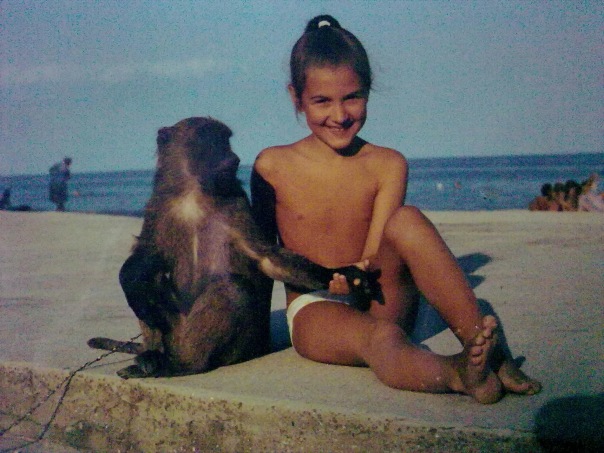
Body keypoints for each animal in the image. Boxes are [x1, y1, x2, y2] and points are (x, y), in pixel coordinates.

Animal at [88, 117, 381, 379]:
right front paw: (130, 281)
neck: (194, 193)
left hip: (223, 347)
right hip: (175, 331)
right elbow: (146, 256)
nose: (235, 158)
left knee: (232, 289)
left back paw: (181, 366)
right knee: (151, 281)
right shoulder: (159, 206)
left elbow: (265, 259)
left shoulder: (236, 204)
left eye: (226, 140)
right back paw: (153, 355)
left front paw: (347, 276)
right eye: (215, 140)